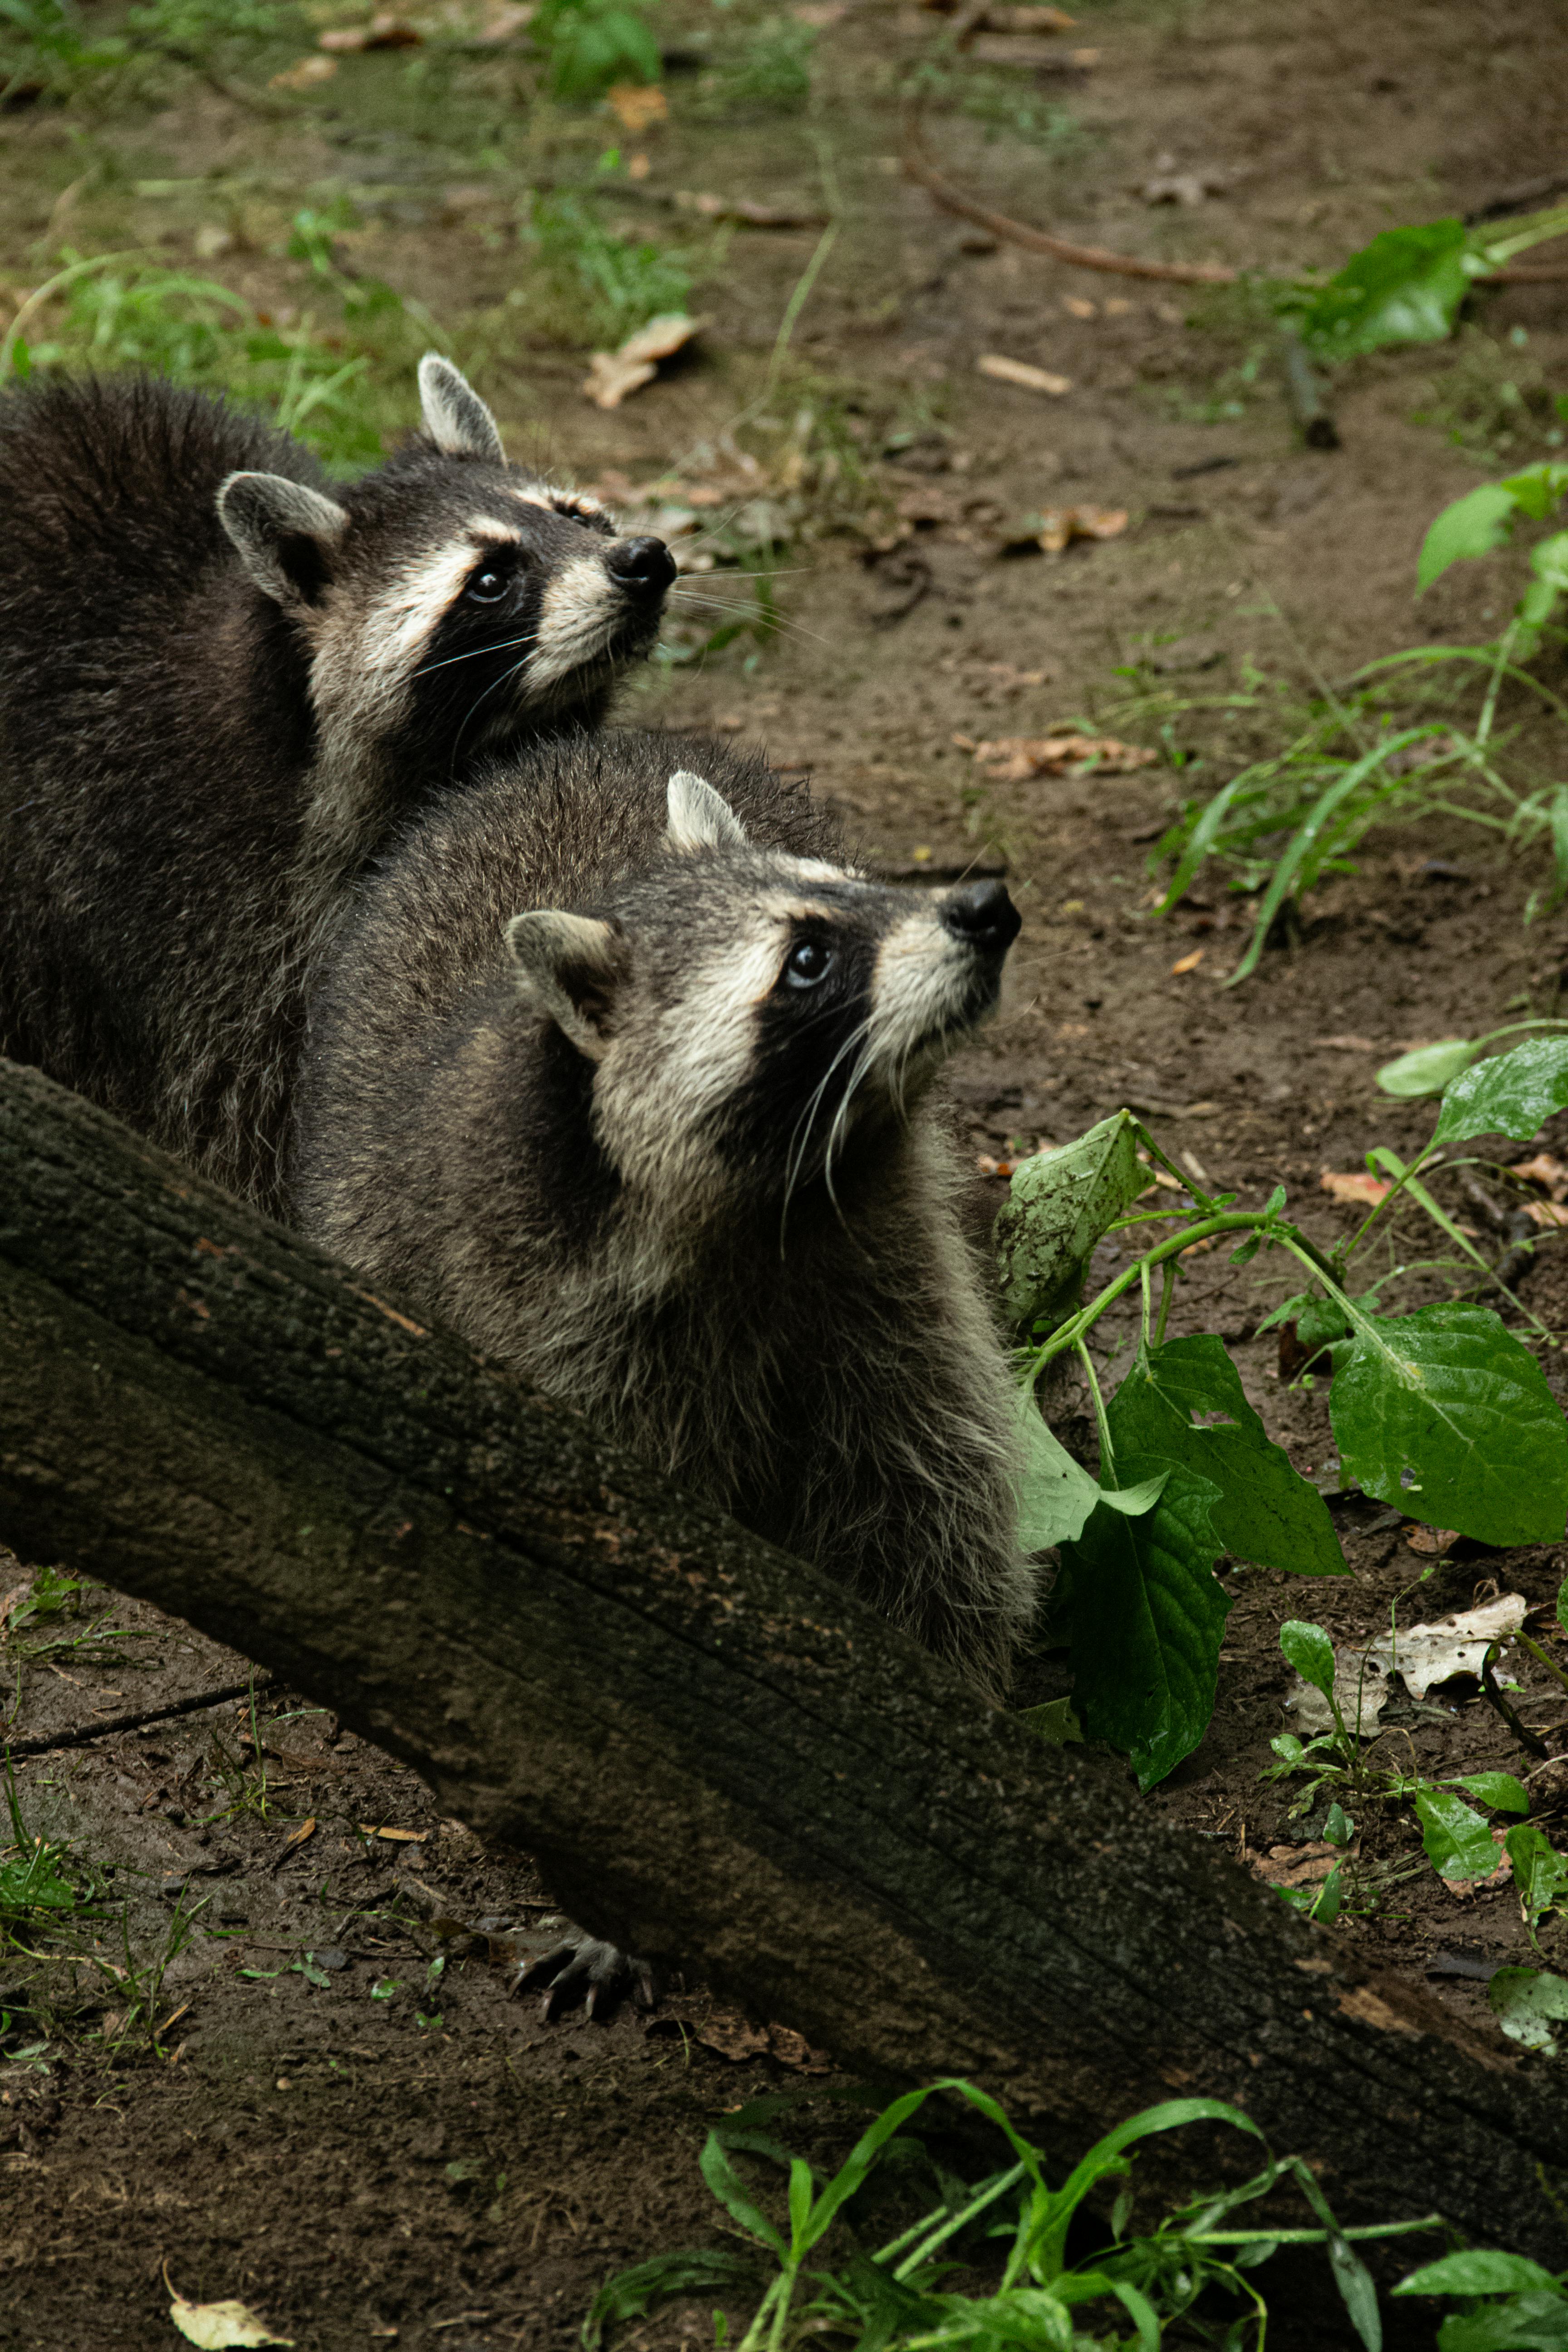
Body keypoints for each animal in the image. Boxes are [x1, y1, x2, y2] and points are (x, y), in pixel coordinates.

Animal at [293, 730, 1034, 1694]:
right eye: (807, 959)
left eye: (857, 883)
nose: (987, 906)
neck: (770, 1204)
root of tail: (569, 748)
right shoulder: (554, 1338)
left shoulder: (887, 1277)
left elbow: (927, 1488)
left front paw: (942, 1668)